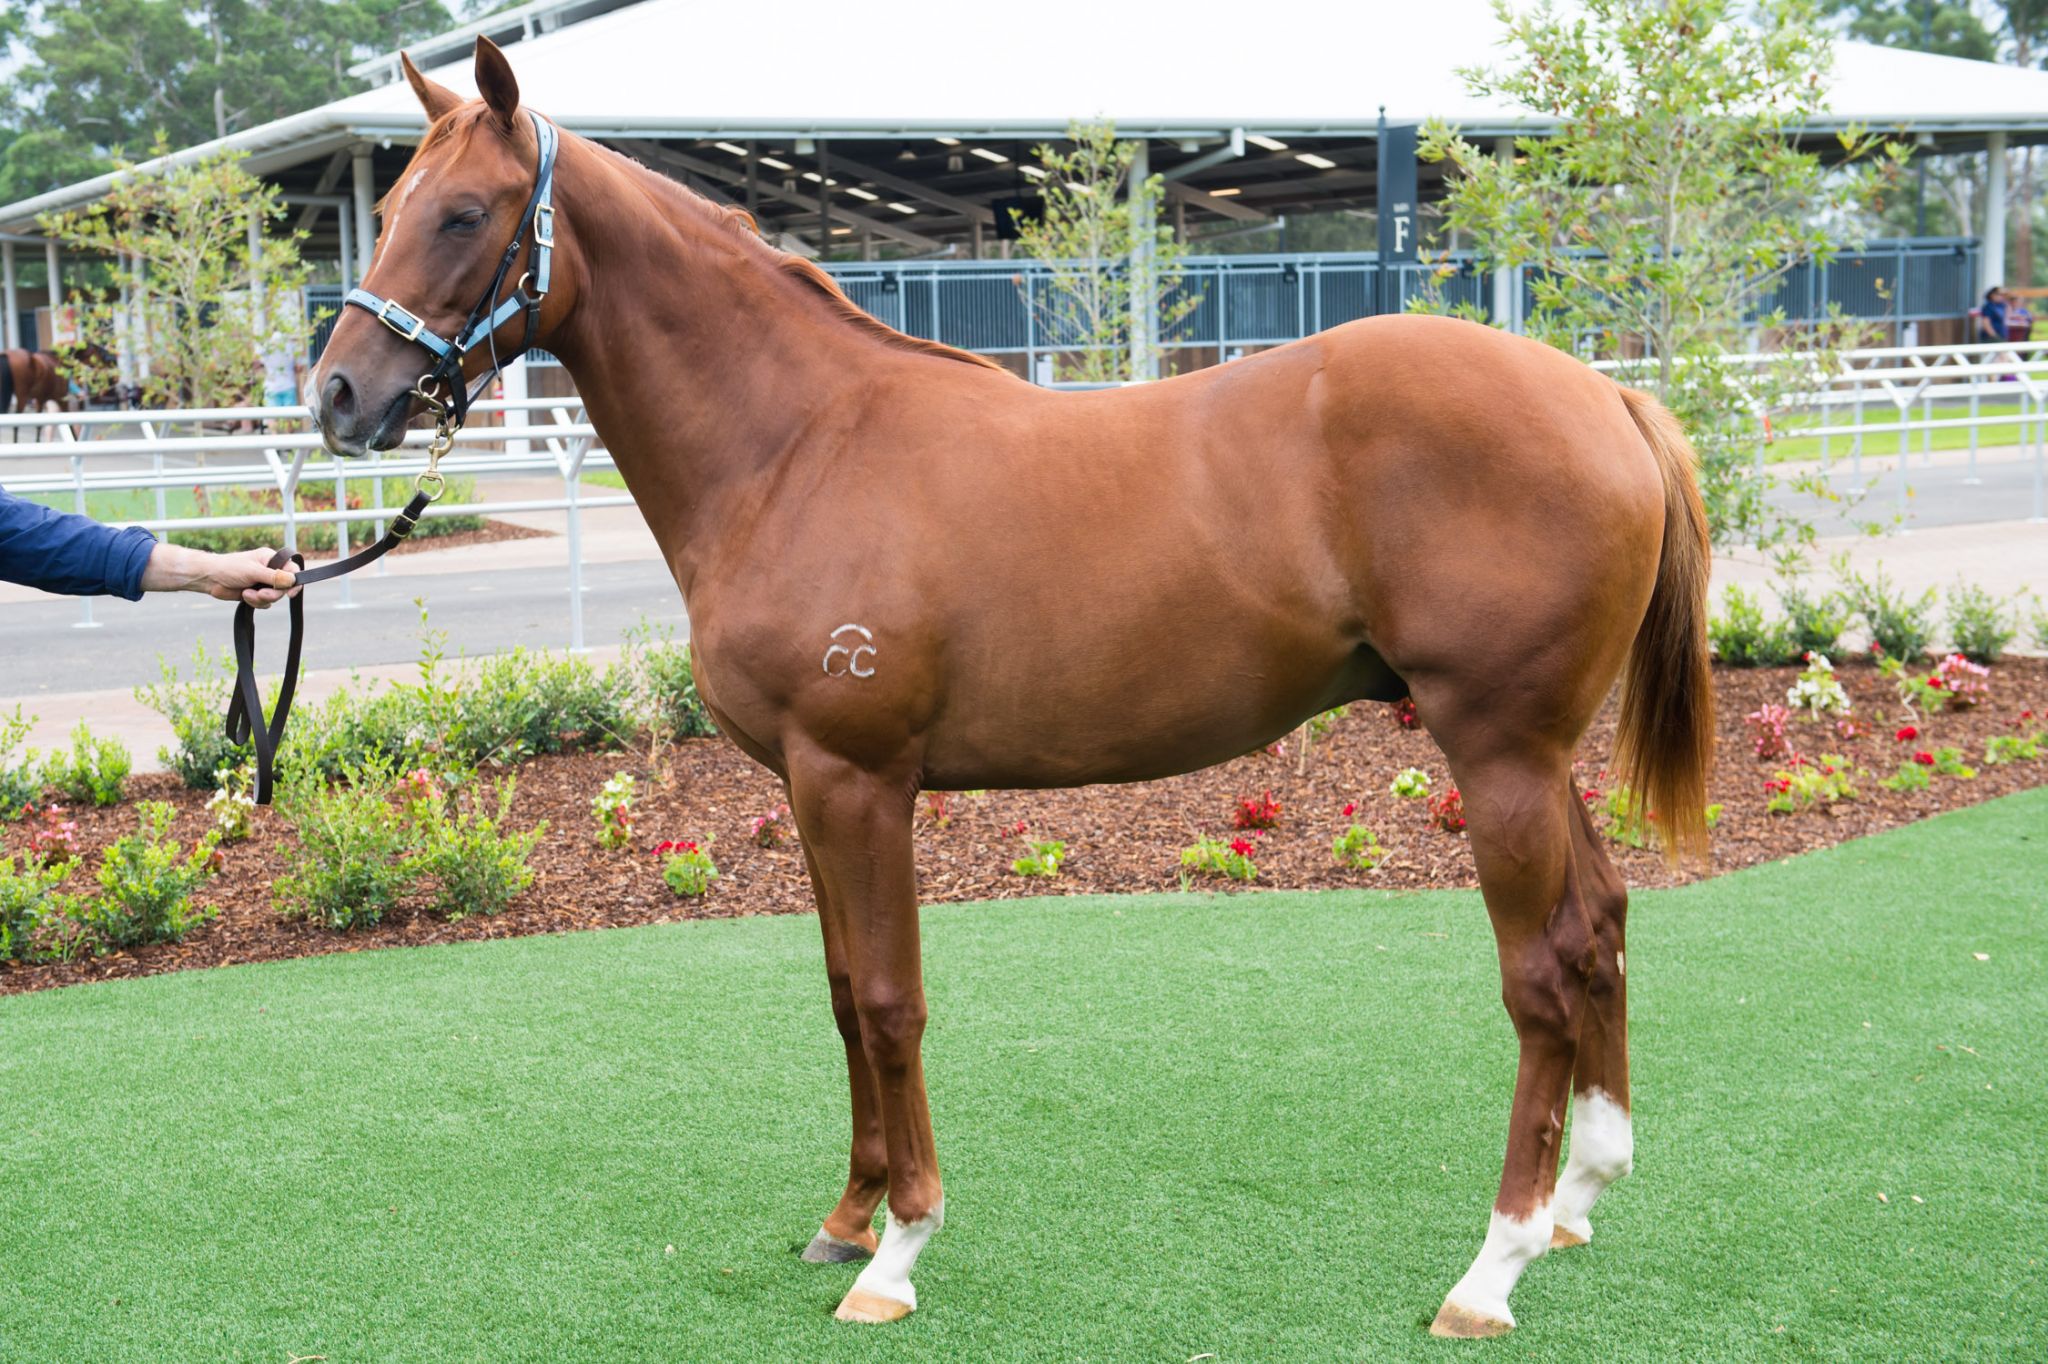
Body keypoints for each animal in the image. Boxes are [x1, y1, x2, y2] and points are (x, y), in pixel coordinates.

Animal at [307, 38, 1713, 1339]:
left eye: (462, 213)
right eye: (390, 203)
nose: (339, 394)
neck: (796, 445)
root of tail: (1605, 394)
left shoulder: (857, 778)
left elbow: (889, 1003)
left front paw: (895, 1252)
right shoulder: (809, 790)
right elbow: (840, 995)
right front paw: (844, 1216)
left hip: (1496, 753)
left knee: (1538, 976)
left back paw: (1492, 1267)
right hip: (1531, 753)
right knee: (1597, 928)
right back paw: (1581, 1195)